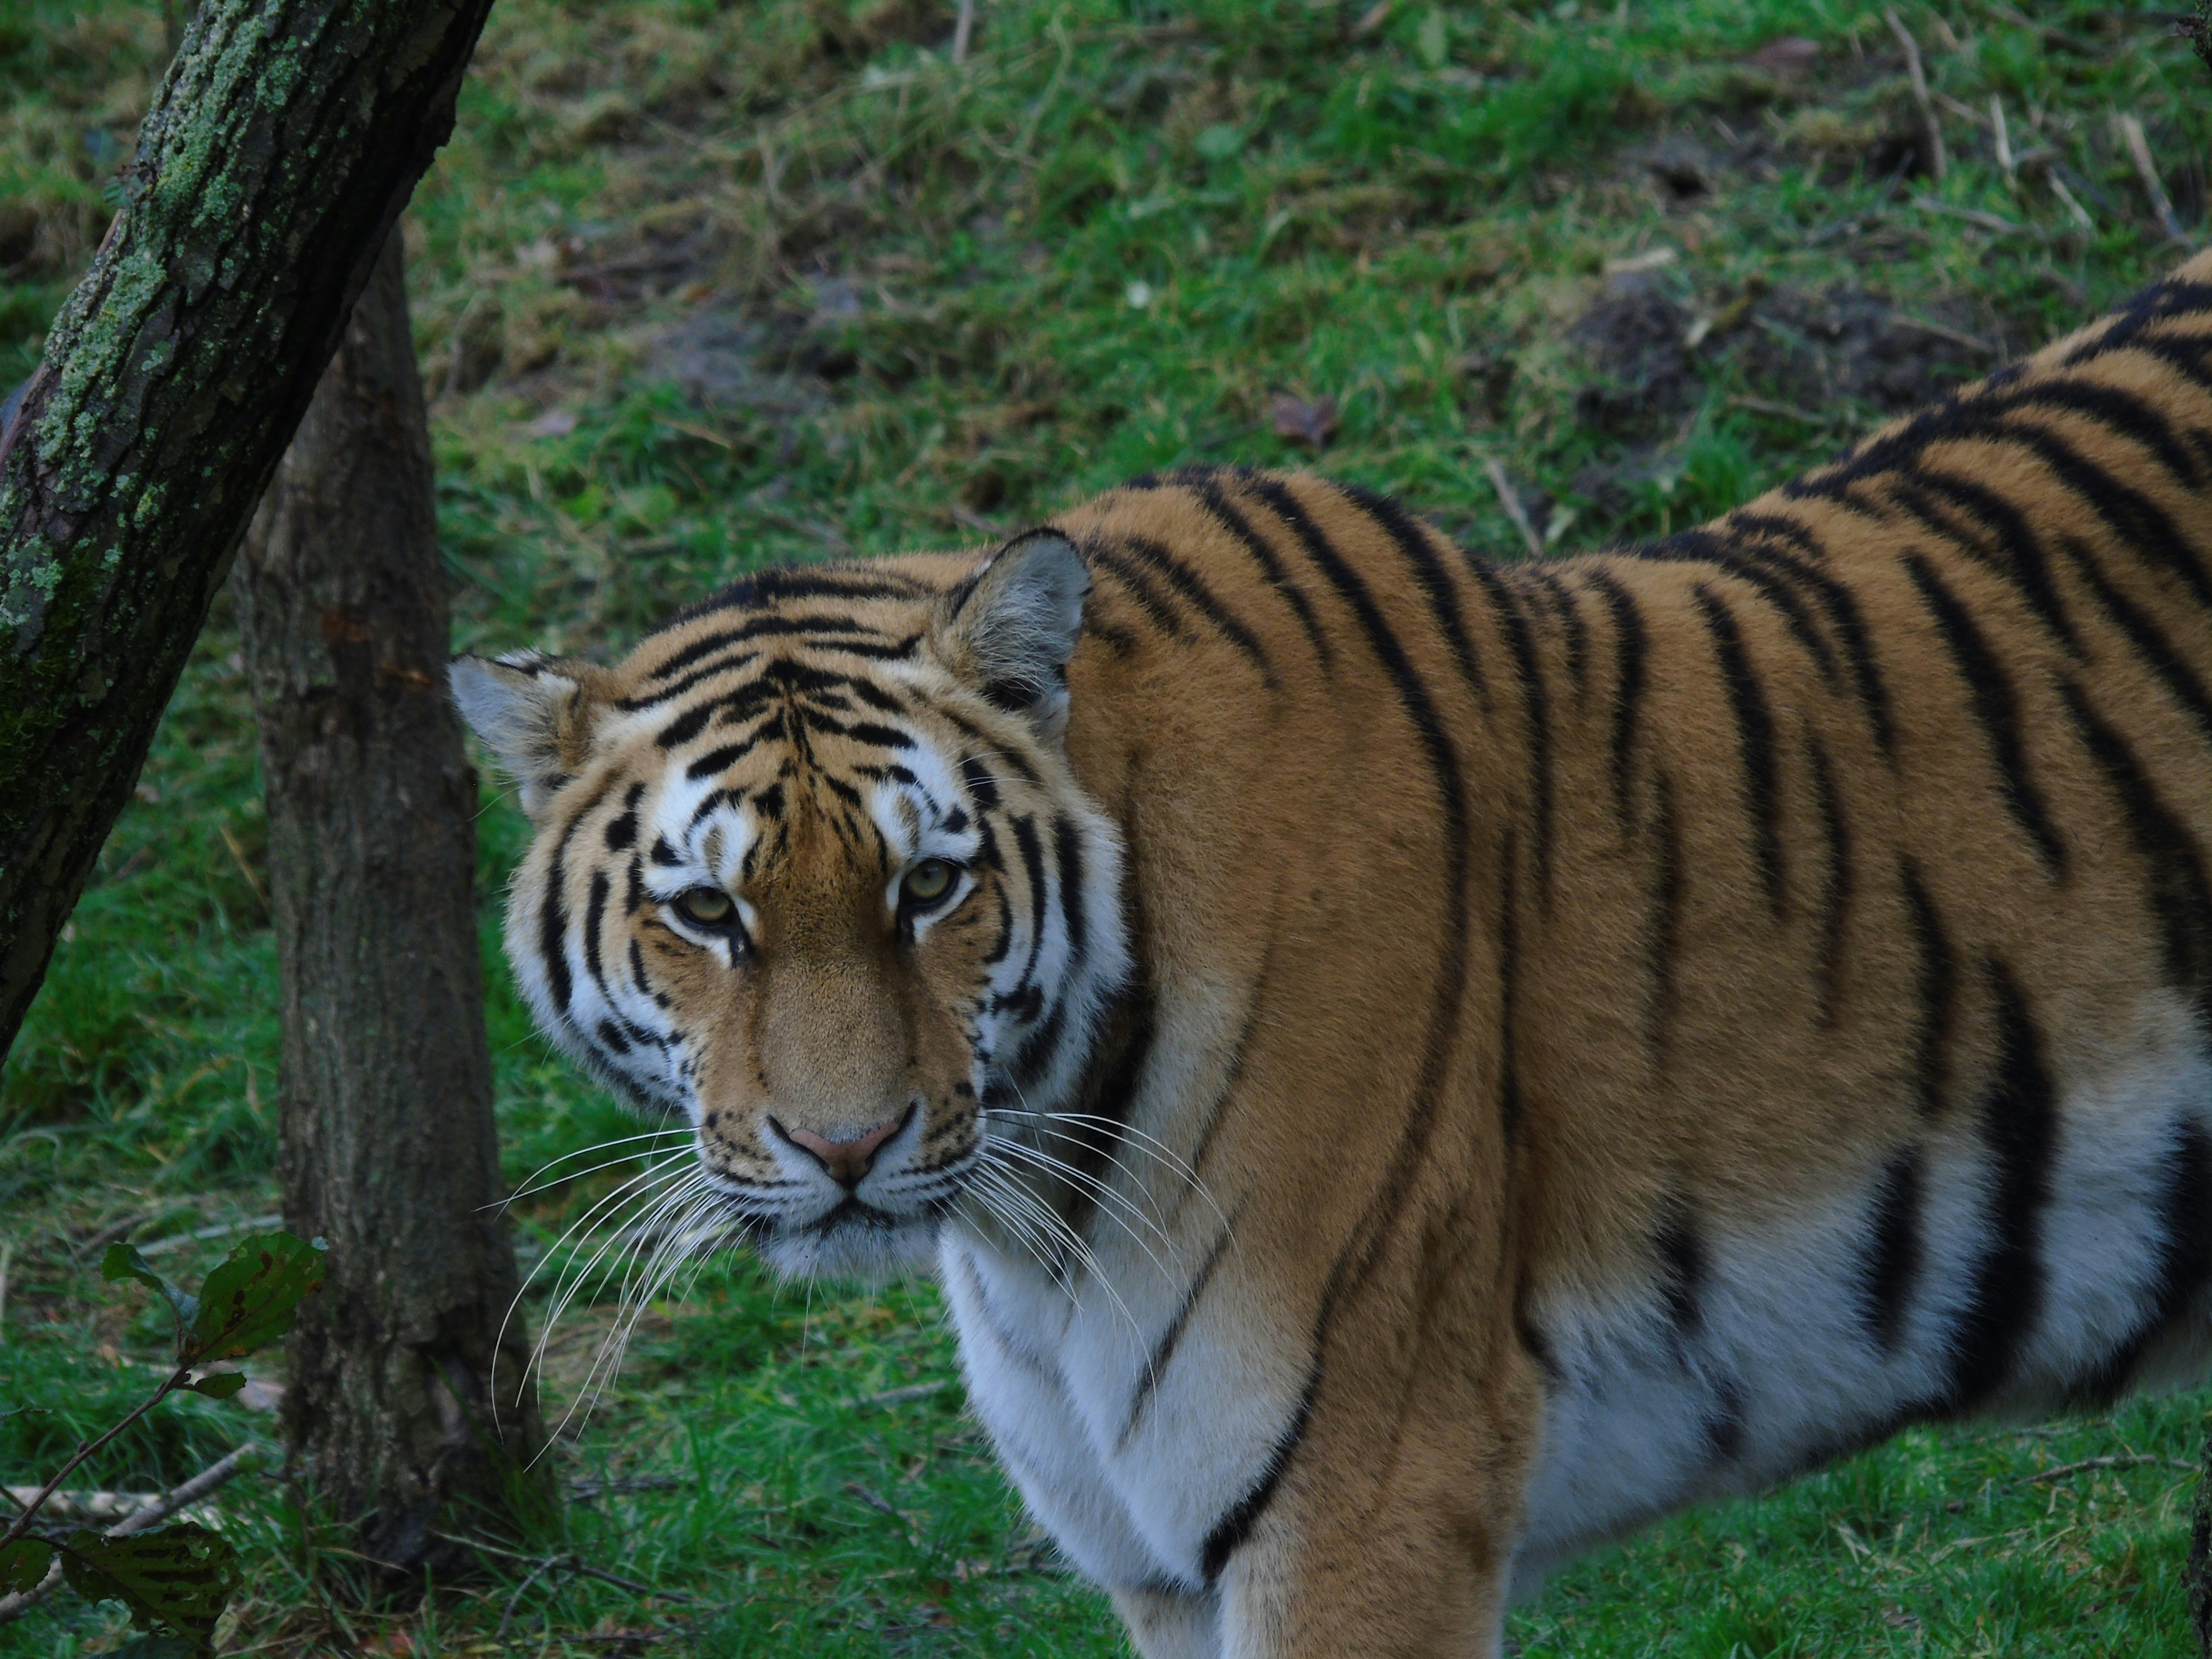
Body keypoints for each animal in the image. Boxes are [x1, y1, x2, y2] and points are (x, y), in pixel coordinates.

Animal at [451, 244, 2212, 1657]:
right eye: (710, 914)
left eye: (931, 887)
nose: (845, 1148)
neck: (1036, 1218)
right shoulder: (1160, 1567)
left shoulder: (1366, 1497)